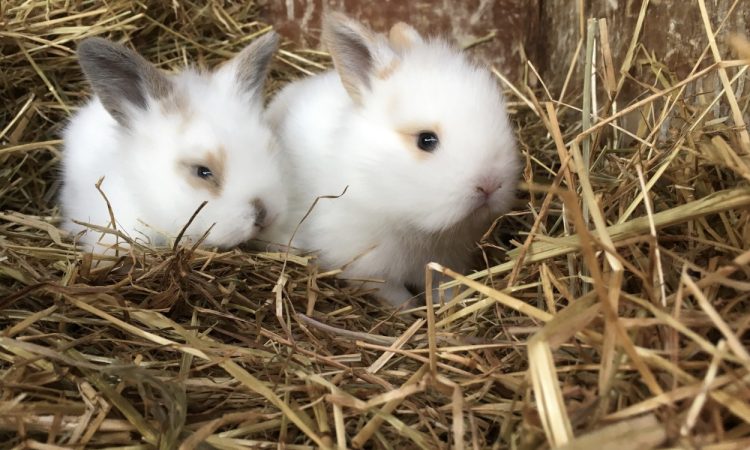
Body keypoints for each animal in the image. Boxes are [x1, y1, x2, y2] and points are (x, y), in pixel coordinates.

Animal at [259, 13, 520, 307]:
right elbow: (398, 299)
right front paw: (413, 311)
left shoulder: (445, 261)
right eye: (426, 140)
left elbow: (444, 288)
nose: (491, 184)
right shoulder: (368, 268)